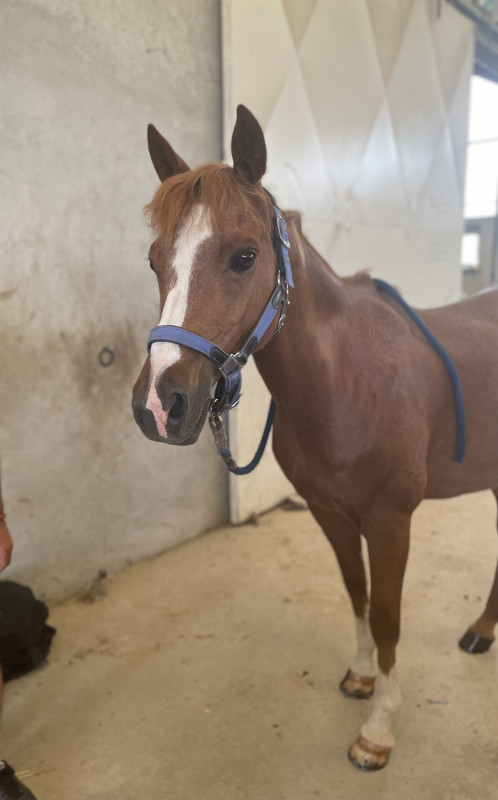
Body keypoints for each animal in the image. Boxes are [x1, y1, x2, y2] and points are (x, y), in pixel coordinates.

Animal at [132, 105, 498, 770]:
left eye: (245, 256)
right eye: (154, 260)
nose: (157, 406)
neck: (347, 382)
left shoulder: (390, 522)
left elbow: (388, 617)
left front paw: (378, 729)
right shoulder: (331, 514)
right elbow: (357, 596)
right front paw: (361, 678)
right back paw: (482, 631)